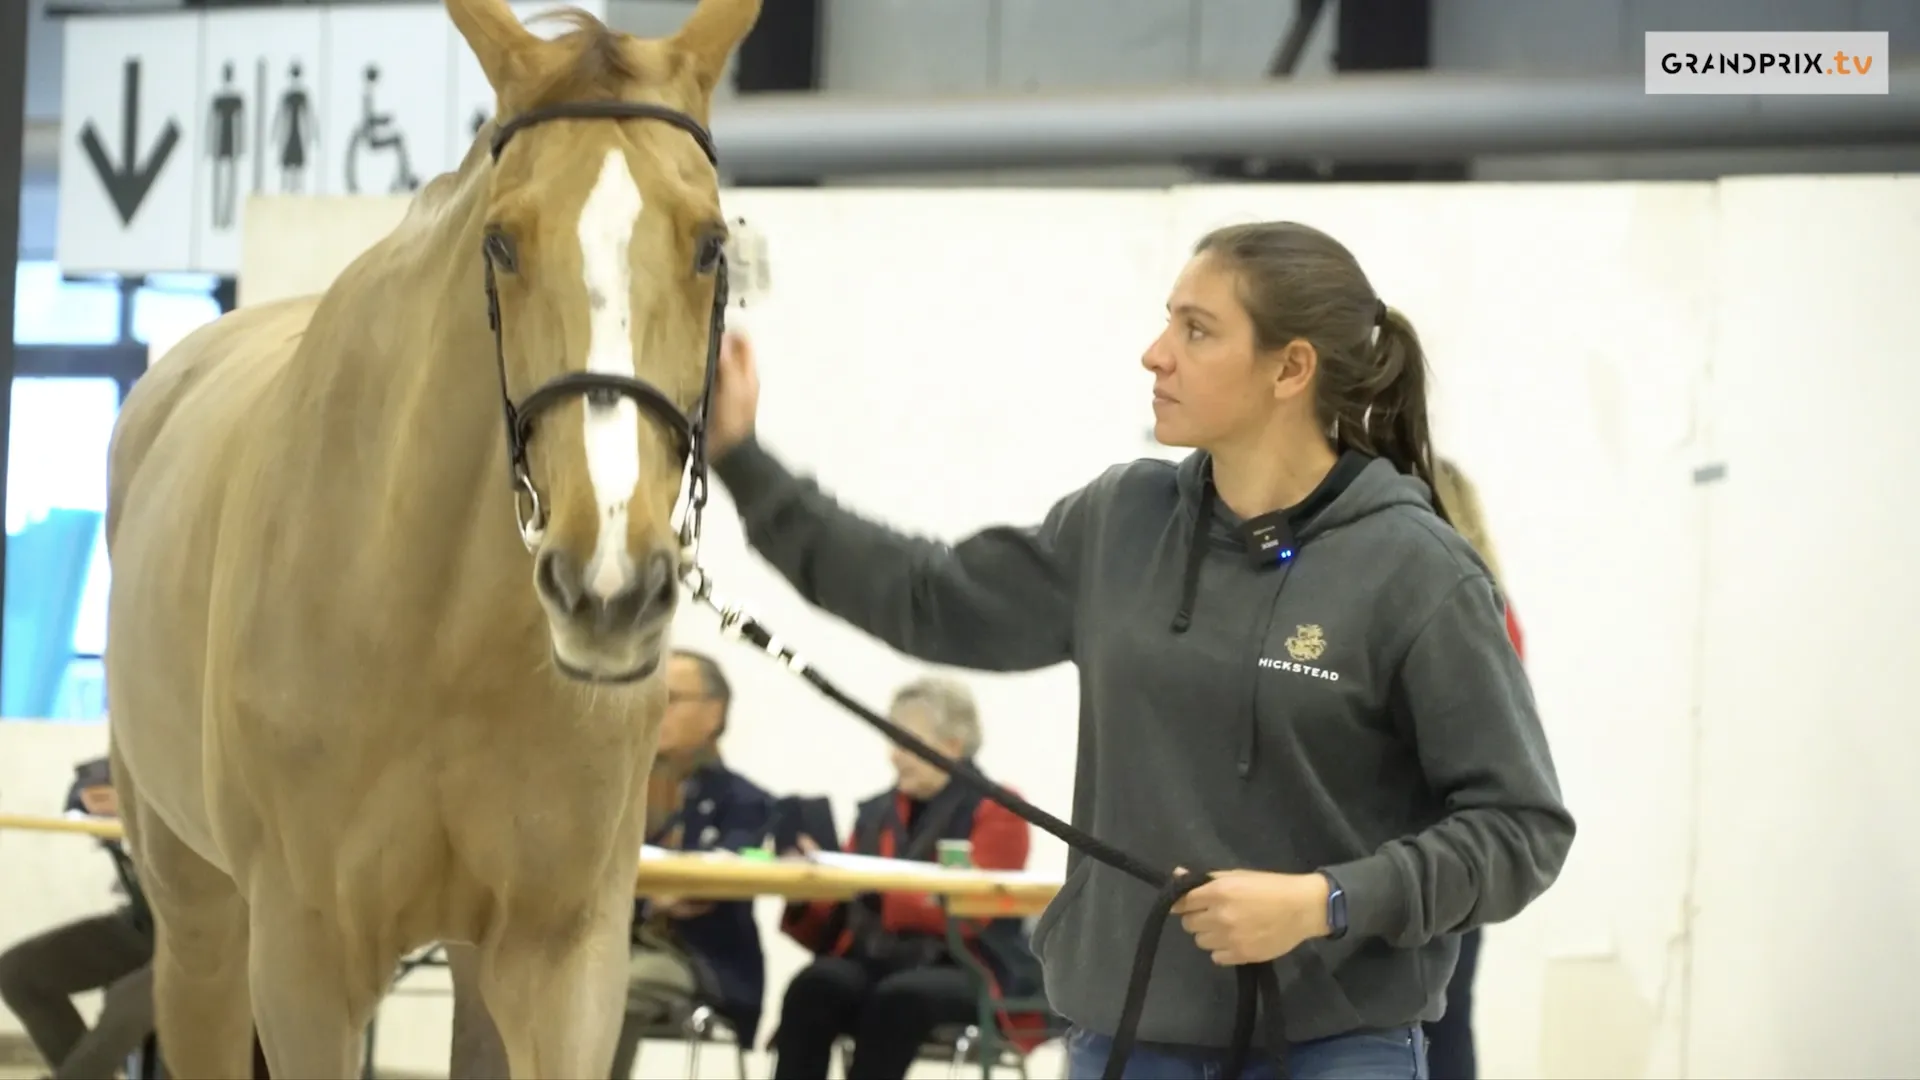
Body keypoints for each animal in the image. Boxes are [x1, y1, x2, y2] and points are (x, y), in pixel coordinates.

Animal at [100, 0, 759, 1075]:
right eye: (501, 243)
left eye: (709, 243)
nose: (608, 589)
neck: (430, 630)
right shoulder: (305, 962)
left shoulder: (564, 956)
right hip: (198, 913)